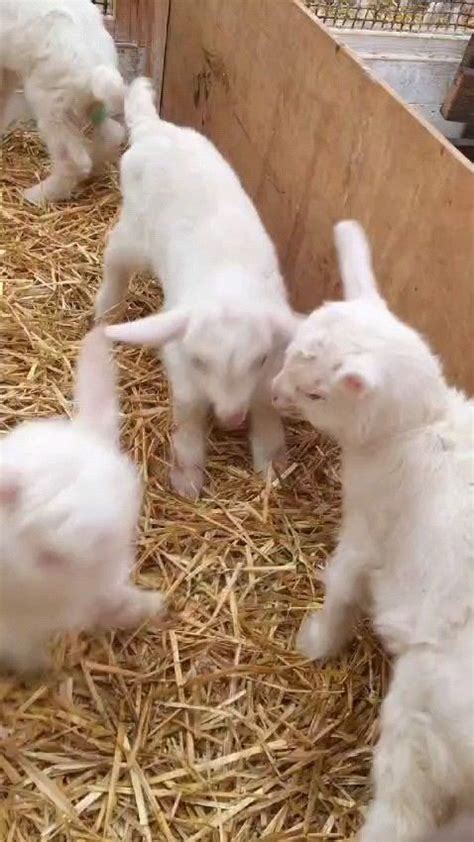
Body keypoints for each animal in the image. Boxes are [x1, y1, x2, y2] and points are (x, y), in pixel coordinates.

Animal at [0, 0, 125, 204]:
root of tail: (97, 69)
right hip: (91, 107)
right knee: (112, 134)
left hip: (51, 105)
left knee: (72, 162)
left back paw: (35, 195)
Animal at [95, 77, 300, 500]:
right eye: (199, 361)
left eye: (258, 359)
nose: (231, 417)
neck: (230, 288)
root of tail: (153, 128)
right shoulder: (179, 359)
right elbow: (189, 407)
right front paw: (187, 477)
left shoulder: (273, 360)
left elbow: (267, 405)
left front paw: (273, 465)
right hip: (134, 231)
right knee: (115, 260)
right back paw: (104, 312)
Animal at [272, 220, 474, 842]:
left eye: (318, 393)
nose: (273, 393)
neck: (421, 425)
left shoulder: (366, 531)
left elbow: (341, 589)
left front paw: (314, 642)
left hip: (421, 719)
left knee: (404, 812)